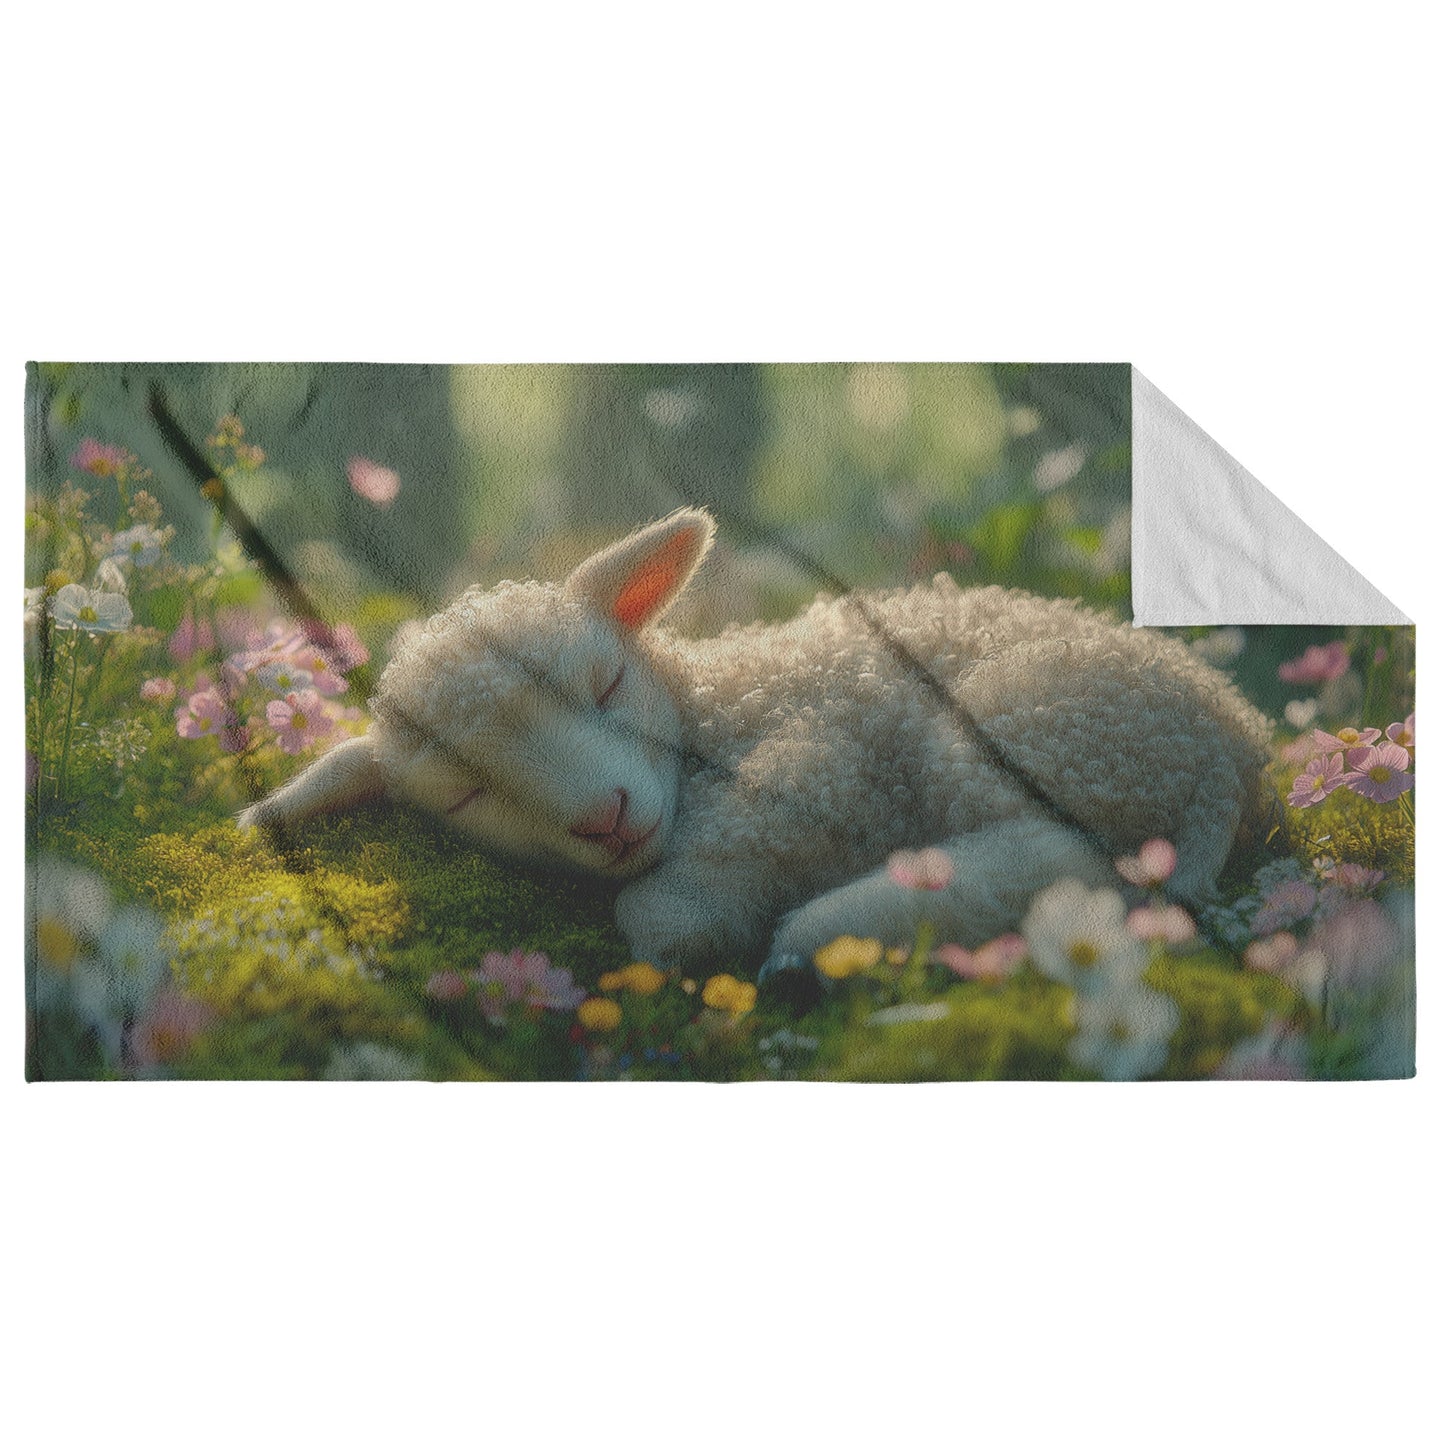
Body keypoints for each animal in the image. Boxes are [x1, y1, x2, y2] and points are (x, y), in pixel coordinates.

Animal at [240, 507, 1273, 983]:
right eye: (464, 794)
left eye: (604, 685)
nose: (605, 819)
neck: (714, 700)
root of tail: (1234, 740)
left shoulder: (819, 767)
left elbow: (664, 903)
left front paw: (685, 932)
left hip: (1035, 727)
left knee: (1073, 860)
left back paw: (820, 938)